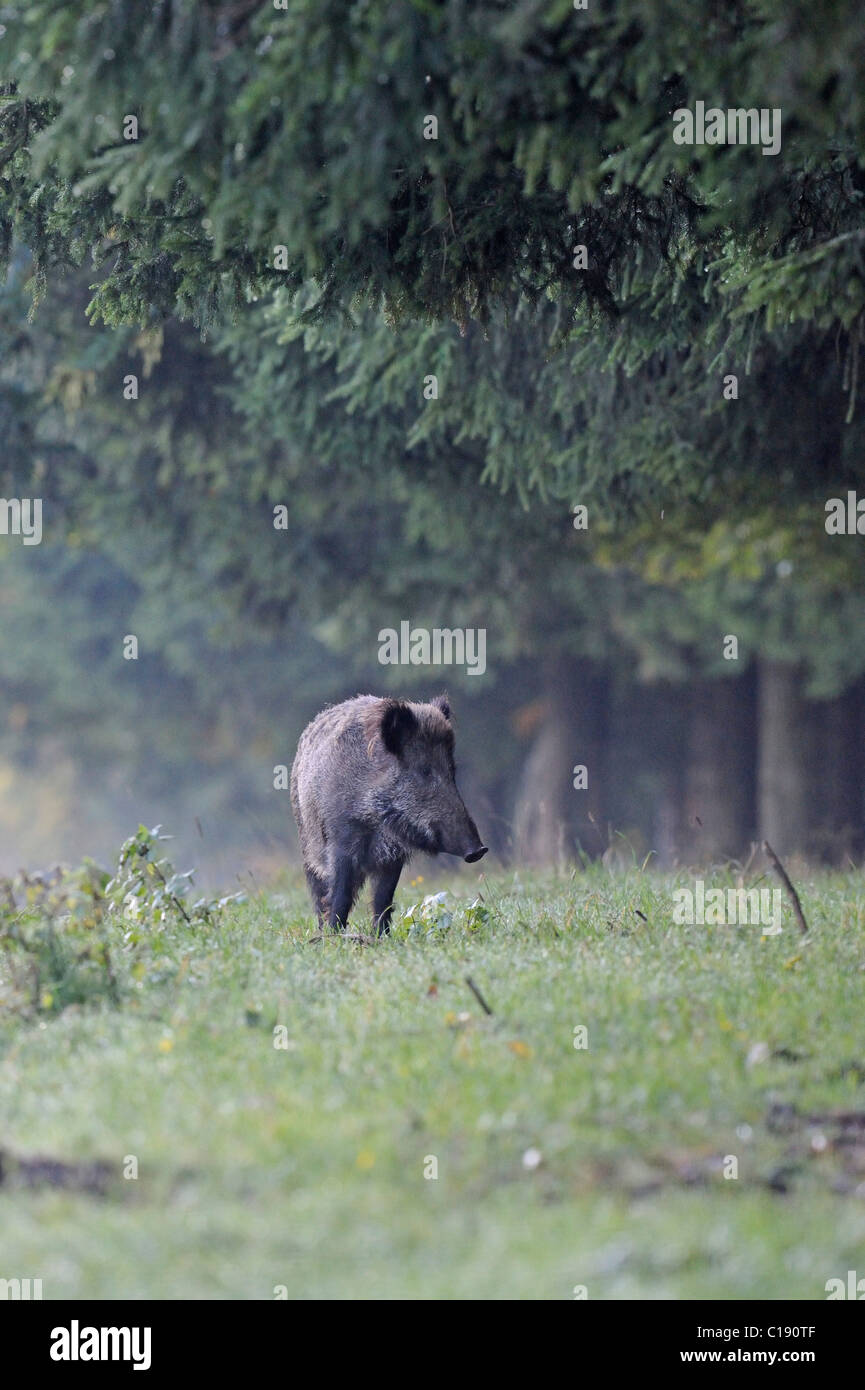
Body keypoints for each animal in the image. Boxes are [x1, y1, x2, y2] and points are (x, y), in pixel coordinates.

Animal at [290, 694, 487, 934]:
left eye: (452, 770)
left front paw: (380, 936)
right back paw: (322, 931)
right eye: (424, 770)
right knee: (318, 890)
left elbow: (383, 899)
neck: (375, 816)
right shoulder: (342, 840)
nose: (479, 850)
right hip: (308, 844)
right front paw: (335, 935)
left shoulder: (393, 855)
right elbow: (341, 894)